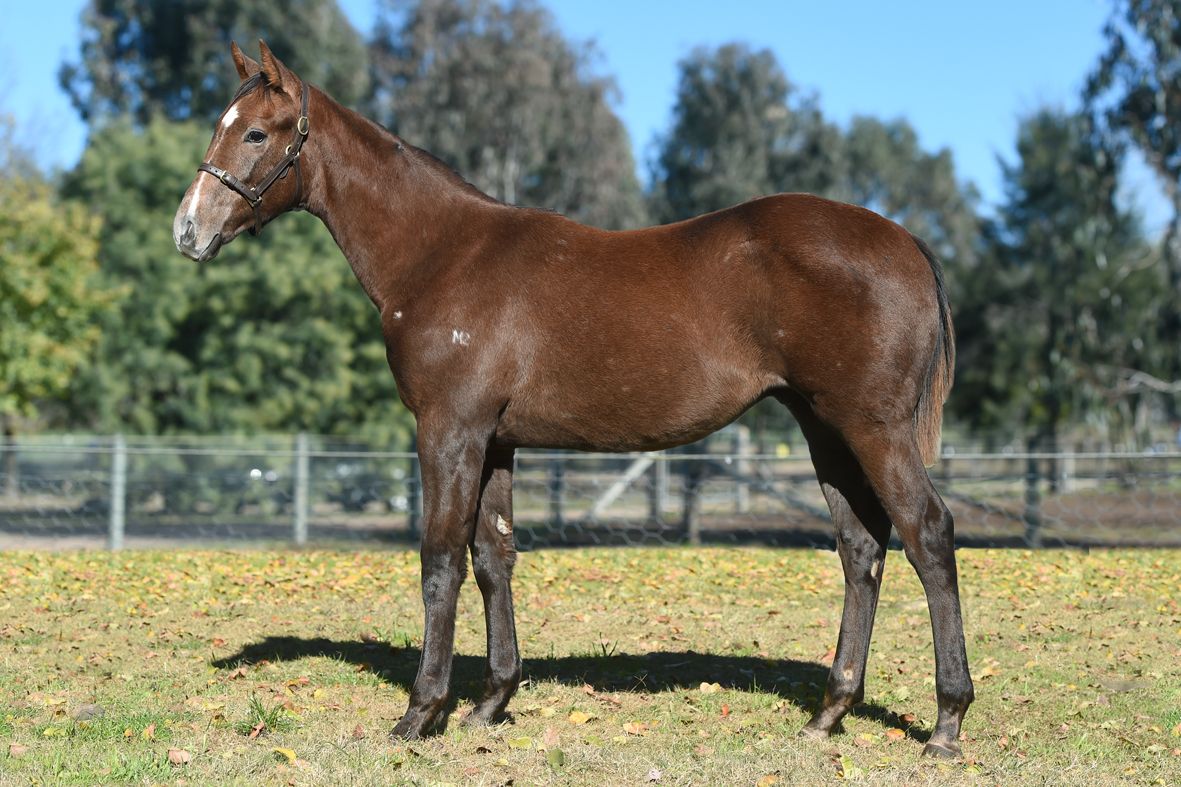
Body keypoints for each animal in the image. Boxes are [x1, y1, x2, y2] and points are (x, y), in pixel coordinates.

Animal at [174, 41, 972, 758]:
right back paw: (829, 713)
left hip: (872, 428)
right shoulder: (495, 440)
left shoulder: (448, 430)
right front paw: (491, 702)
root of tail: (903, 241)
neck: (440, 253)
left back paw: (945, 722)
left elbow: (441, 559)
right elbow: (494, 555)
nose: (188, 229)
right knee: (861, 547)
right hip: (823, 429)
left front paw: (421, 712)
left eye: (255, 132)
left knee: (928, 534)